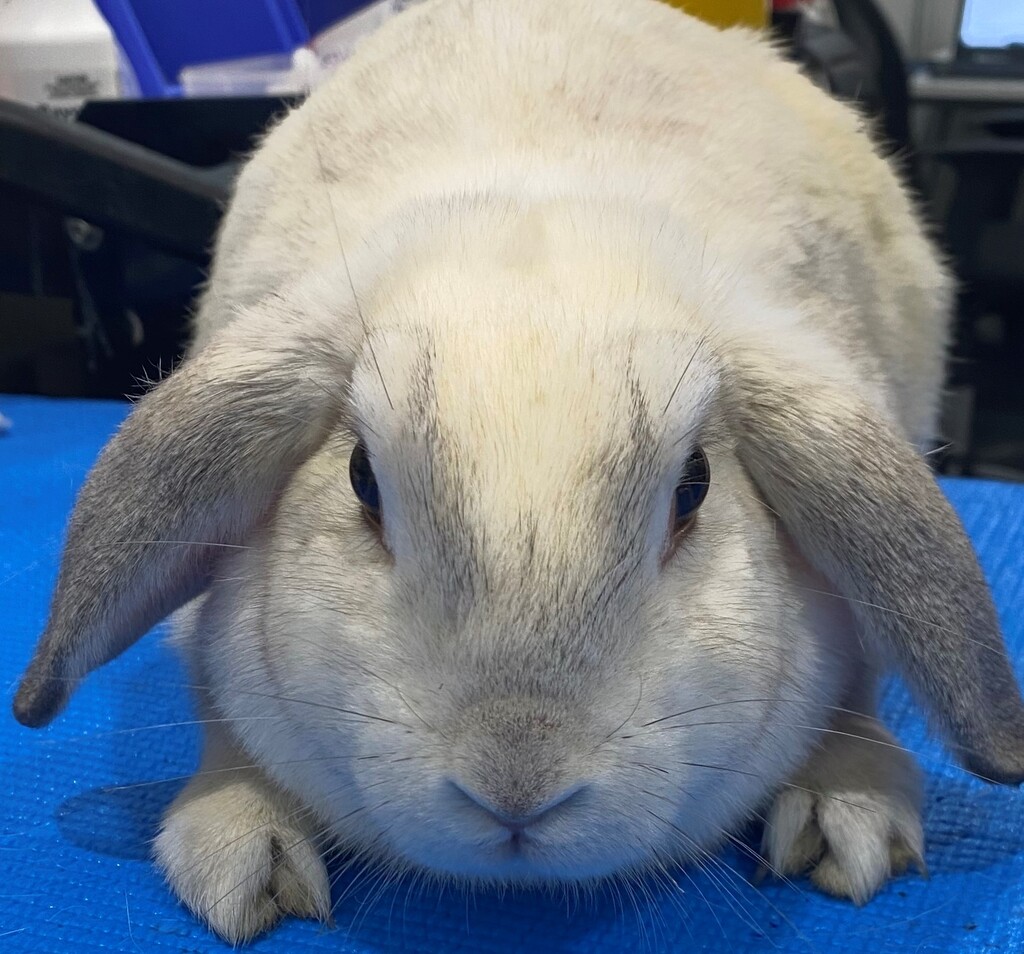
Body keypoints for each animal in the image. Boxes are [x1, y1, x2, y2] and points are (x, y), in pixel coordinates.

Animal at [14, 0, 1024, 943]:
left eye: (694, 487)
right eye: (361, 481)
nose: (517, 785)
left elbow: (857, 692)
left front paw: (850, 810)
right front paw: (240, 845)